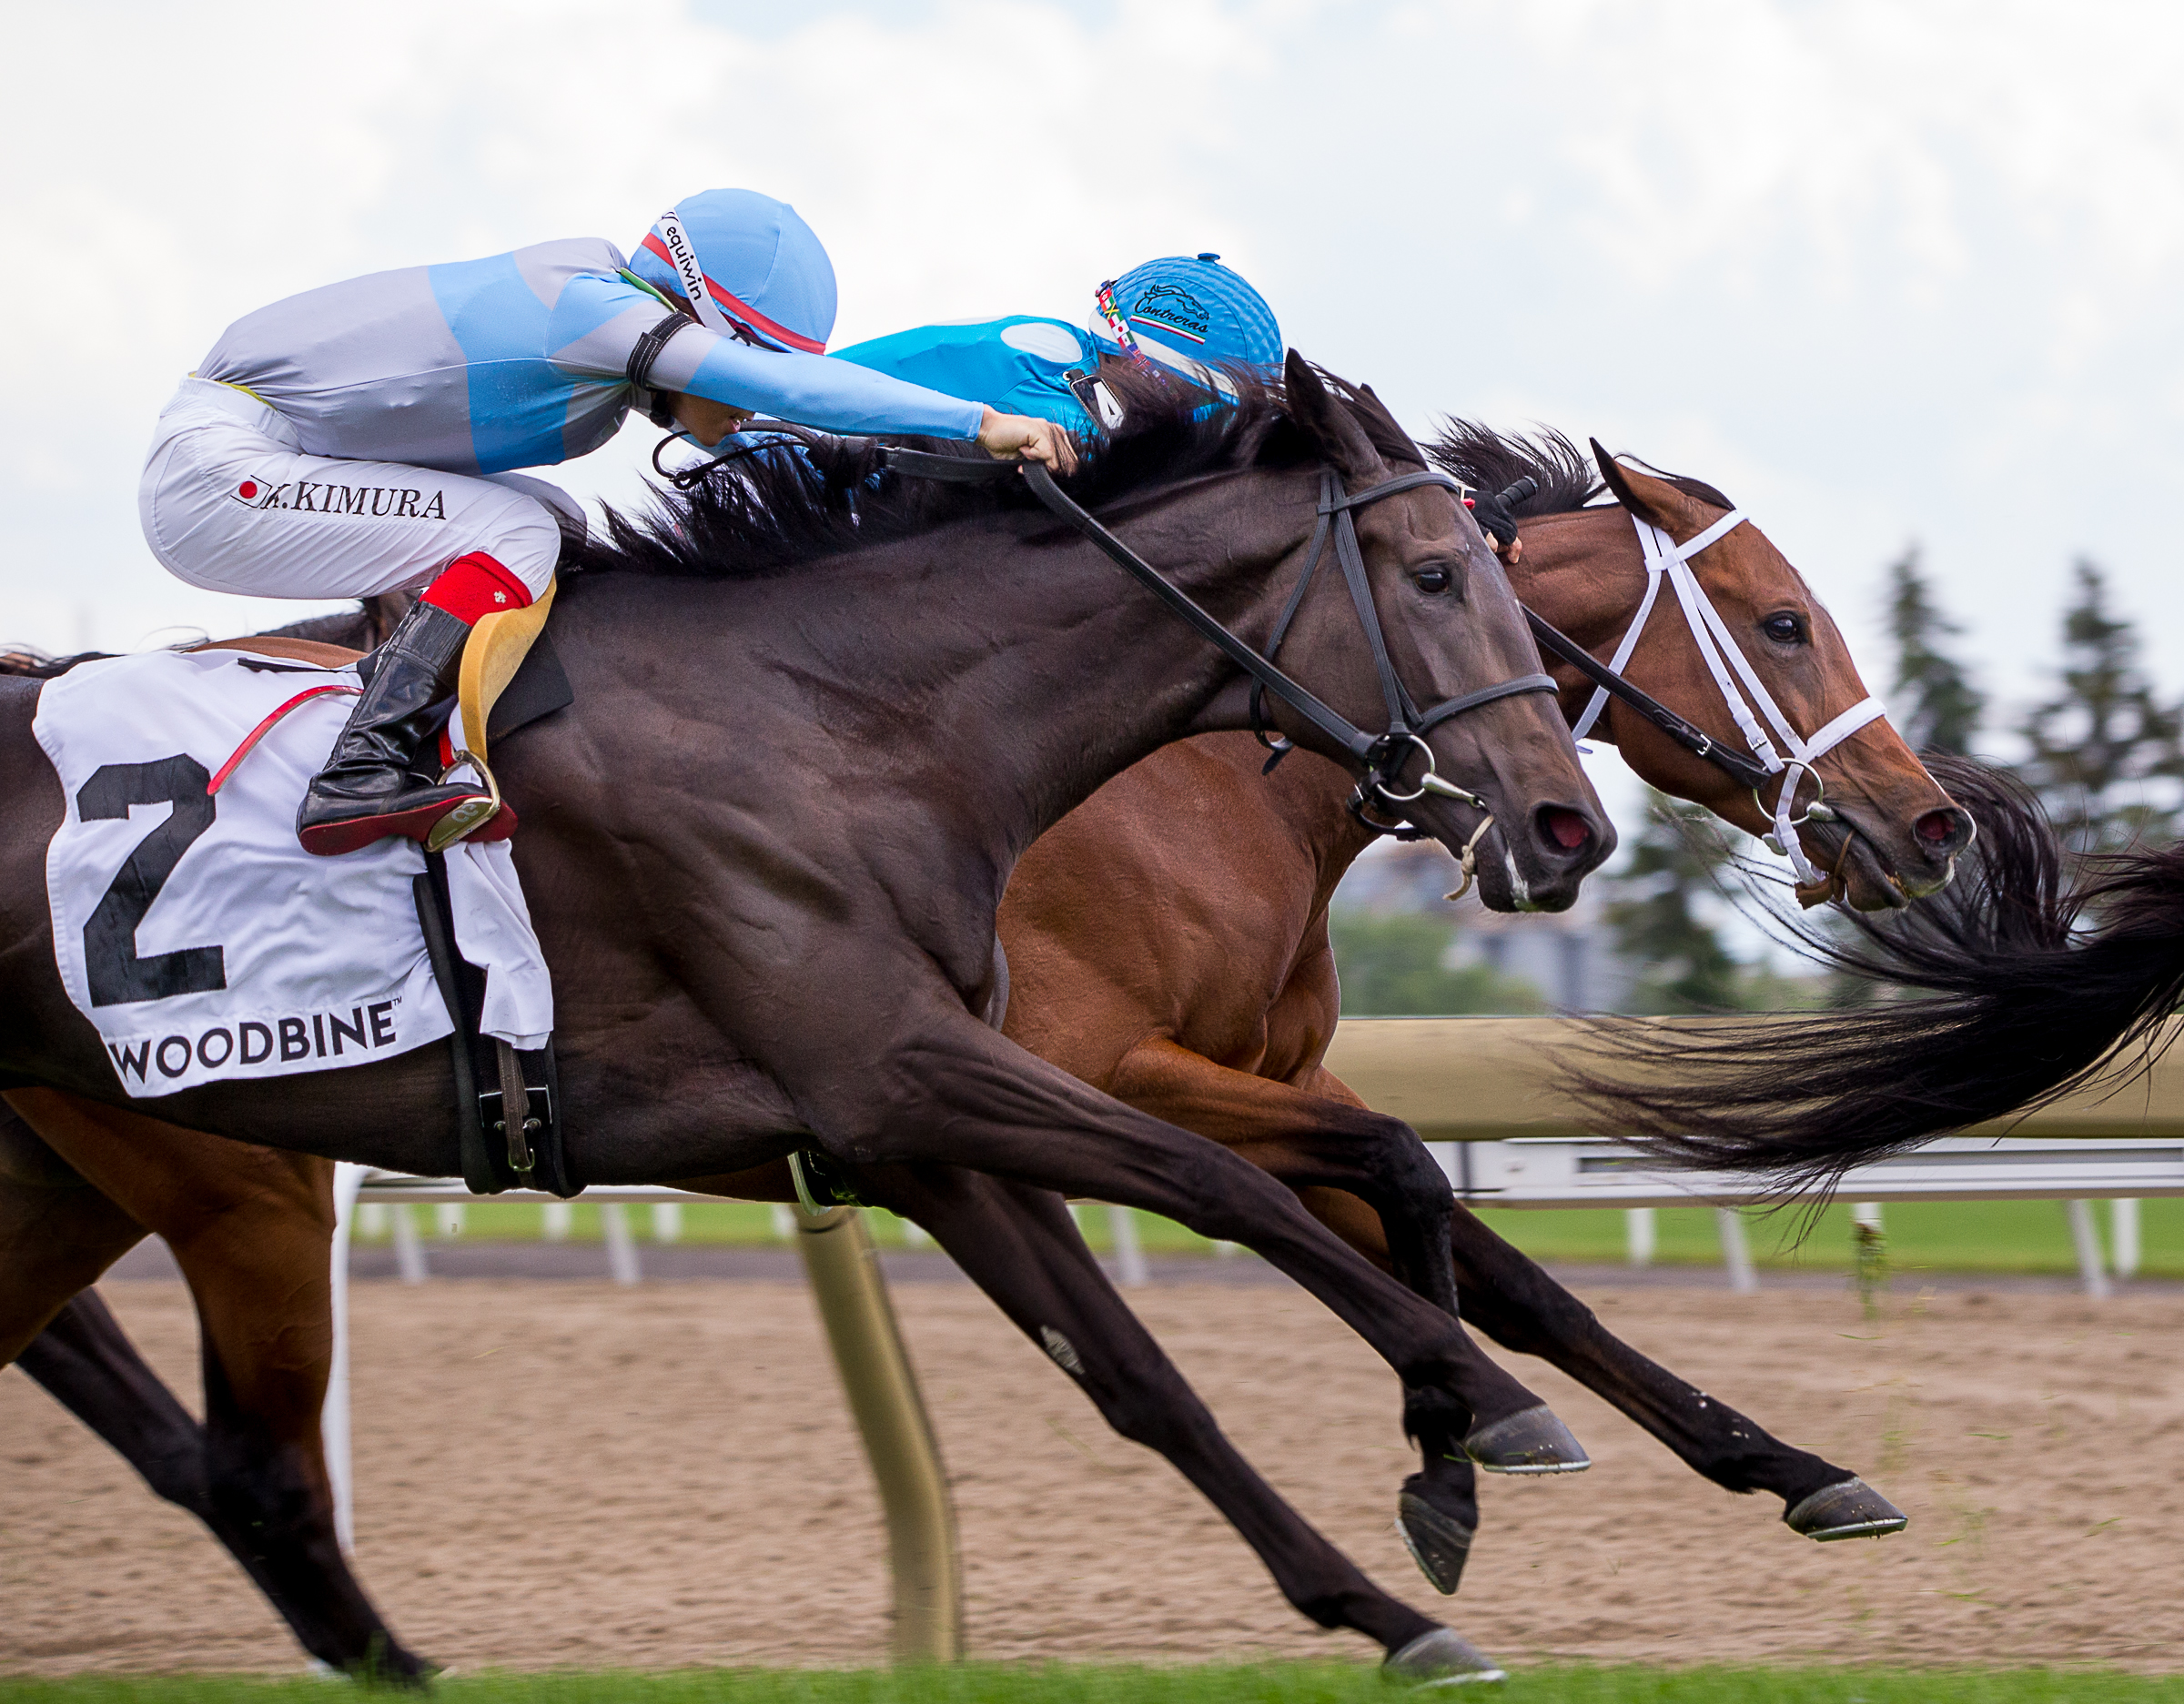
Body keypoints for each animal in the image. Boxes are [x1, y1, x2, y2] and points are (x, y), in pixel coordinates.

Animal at [2, 412, 1970, 1676]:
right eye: (1784, 620)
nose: (1933, 822)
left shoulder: (1056, 1103)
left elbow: (1463, 1250)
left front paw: (1767, 1467)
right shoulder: (1063, 1074)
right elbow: (1357, 1197)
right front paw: (1462, 1443)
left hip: (88, 1167)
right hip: (234, 1172)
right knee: (255, 1463)